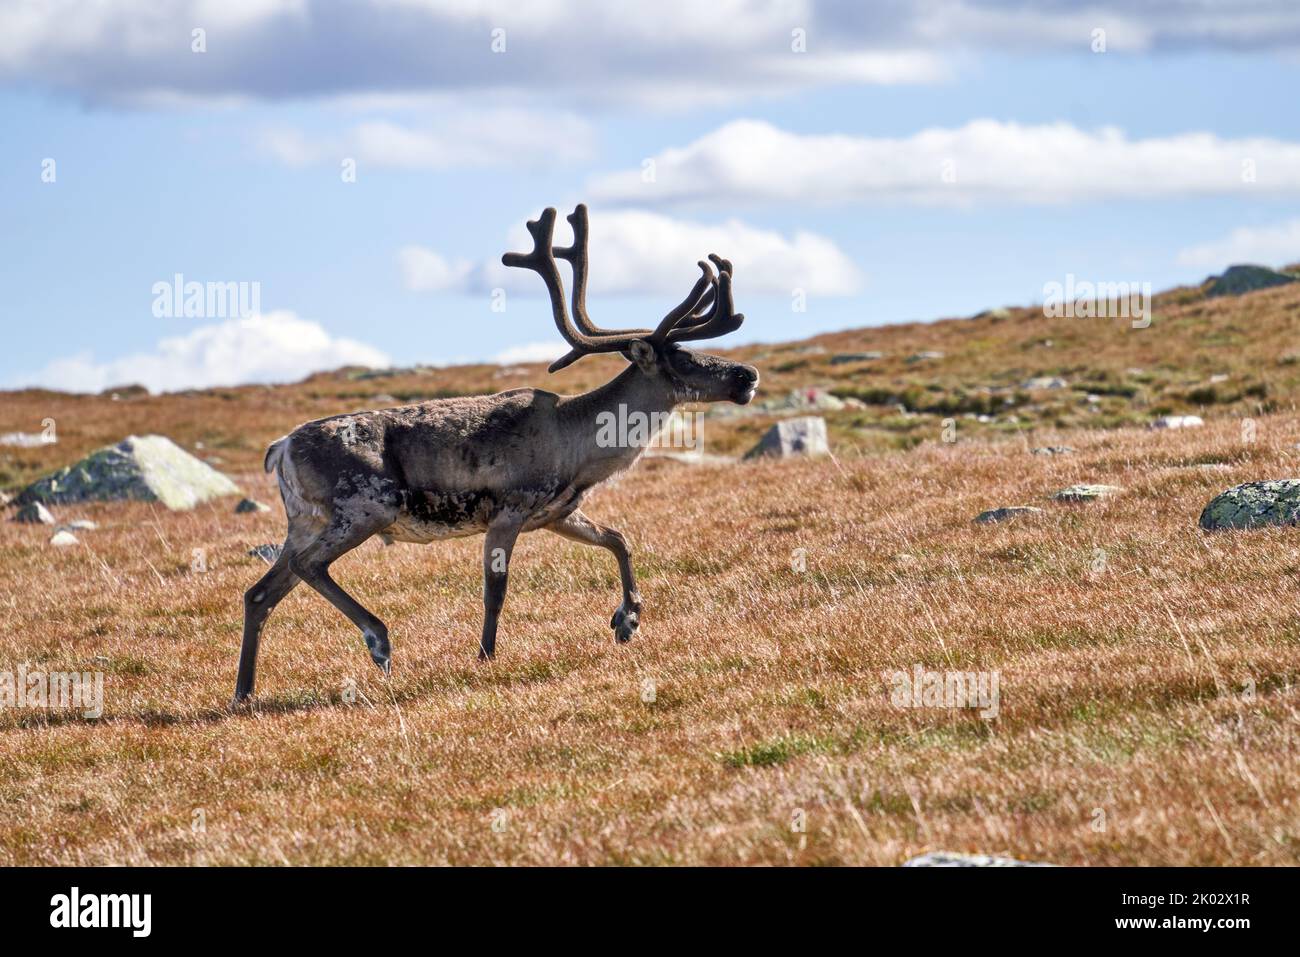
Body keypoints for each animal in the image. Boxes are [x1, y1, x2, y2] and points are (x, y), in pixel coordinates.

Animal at [233, 204, 759, 705]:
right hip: (364, 508)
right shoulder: (509, 510)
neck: (579, 447)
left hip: (306, 520)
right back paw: (378, 640)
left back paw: (244, 692)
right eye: (684, 358)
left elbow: (619, 539)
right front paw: (485, 656)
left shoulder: (558, 512)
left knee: (260, 592)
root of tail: (280, 449)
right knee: (308, 567)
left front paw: (627, 620)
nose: (748, 375)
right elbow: (495, 592)